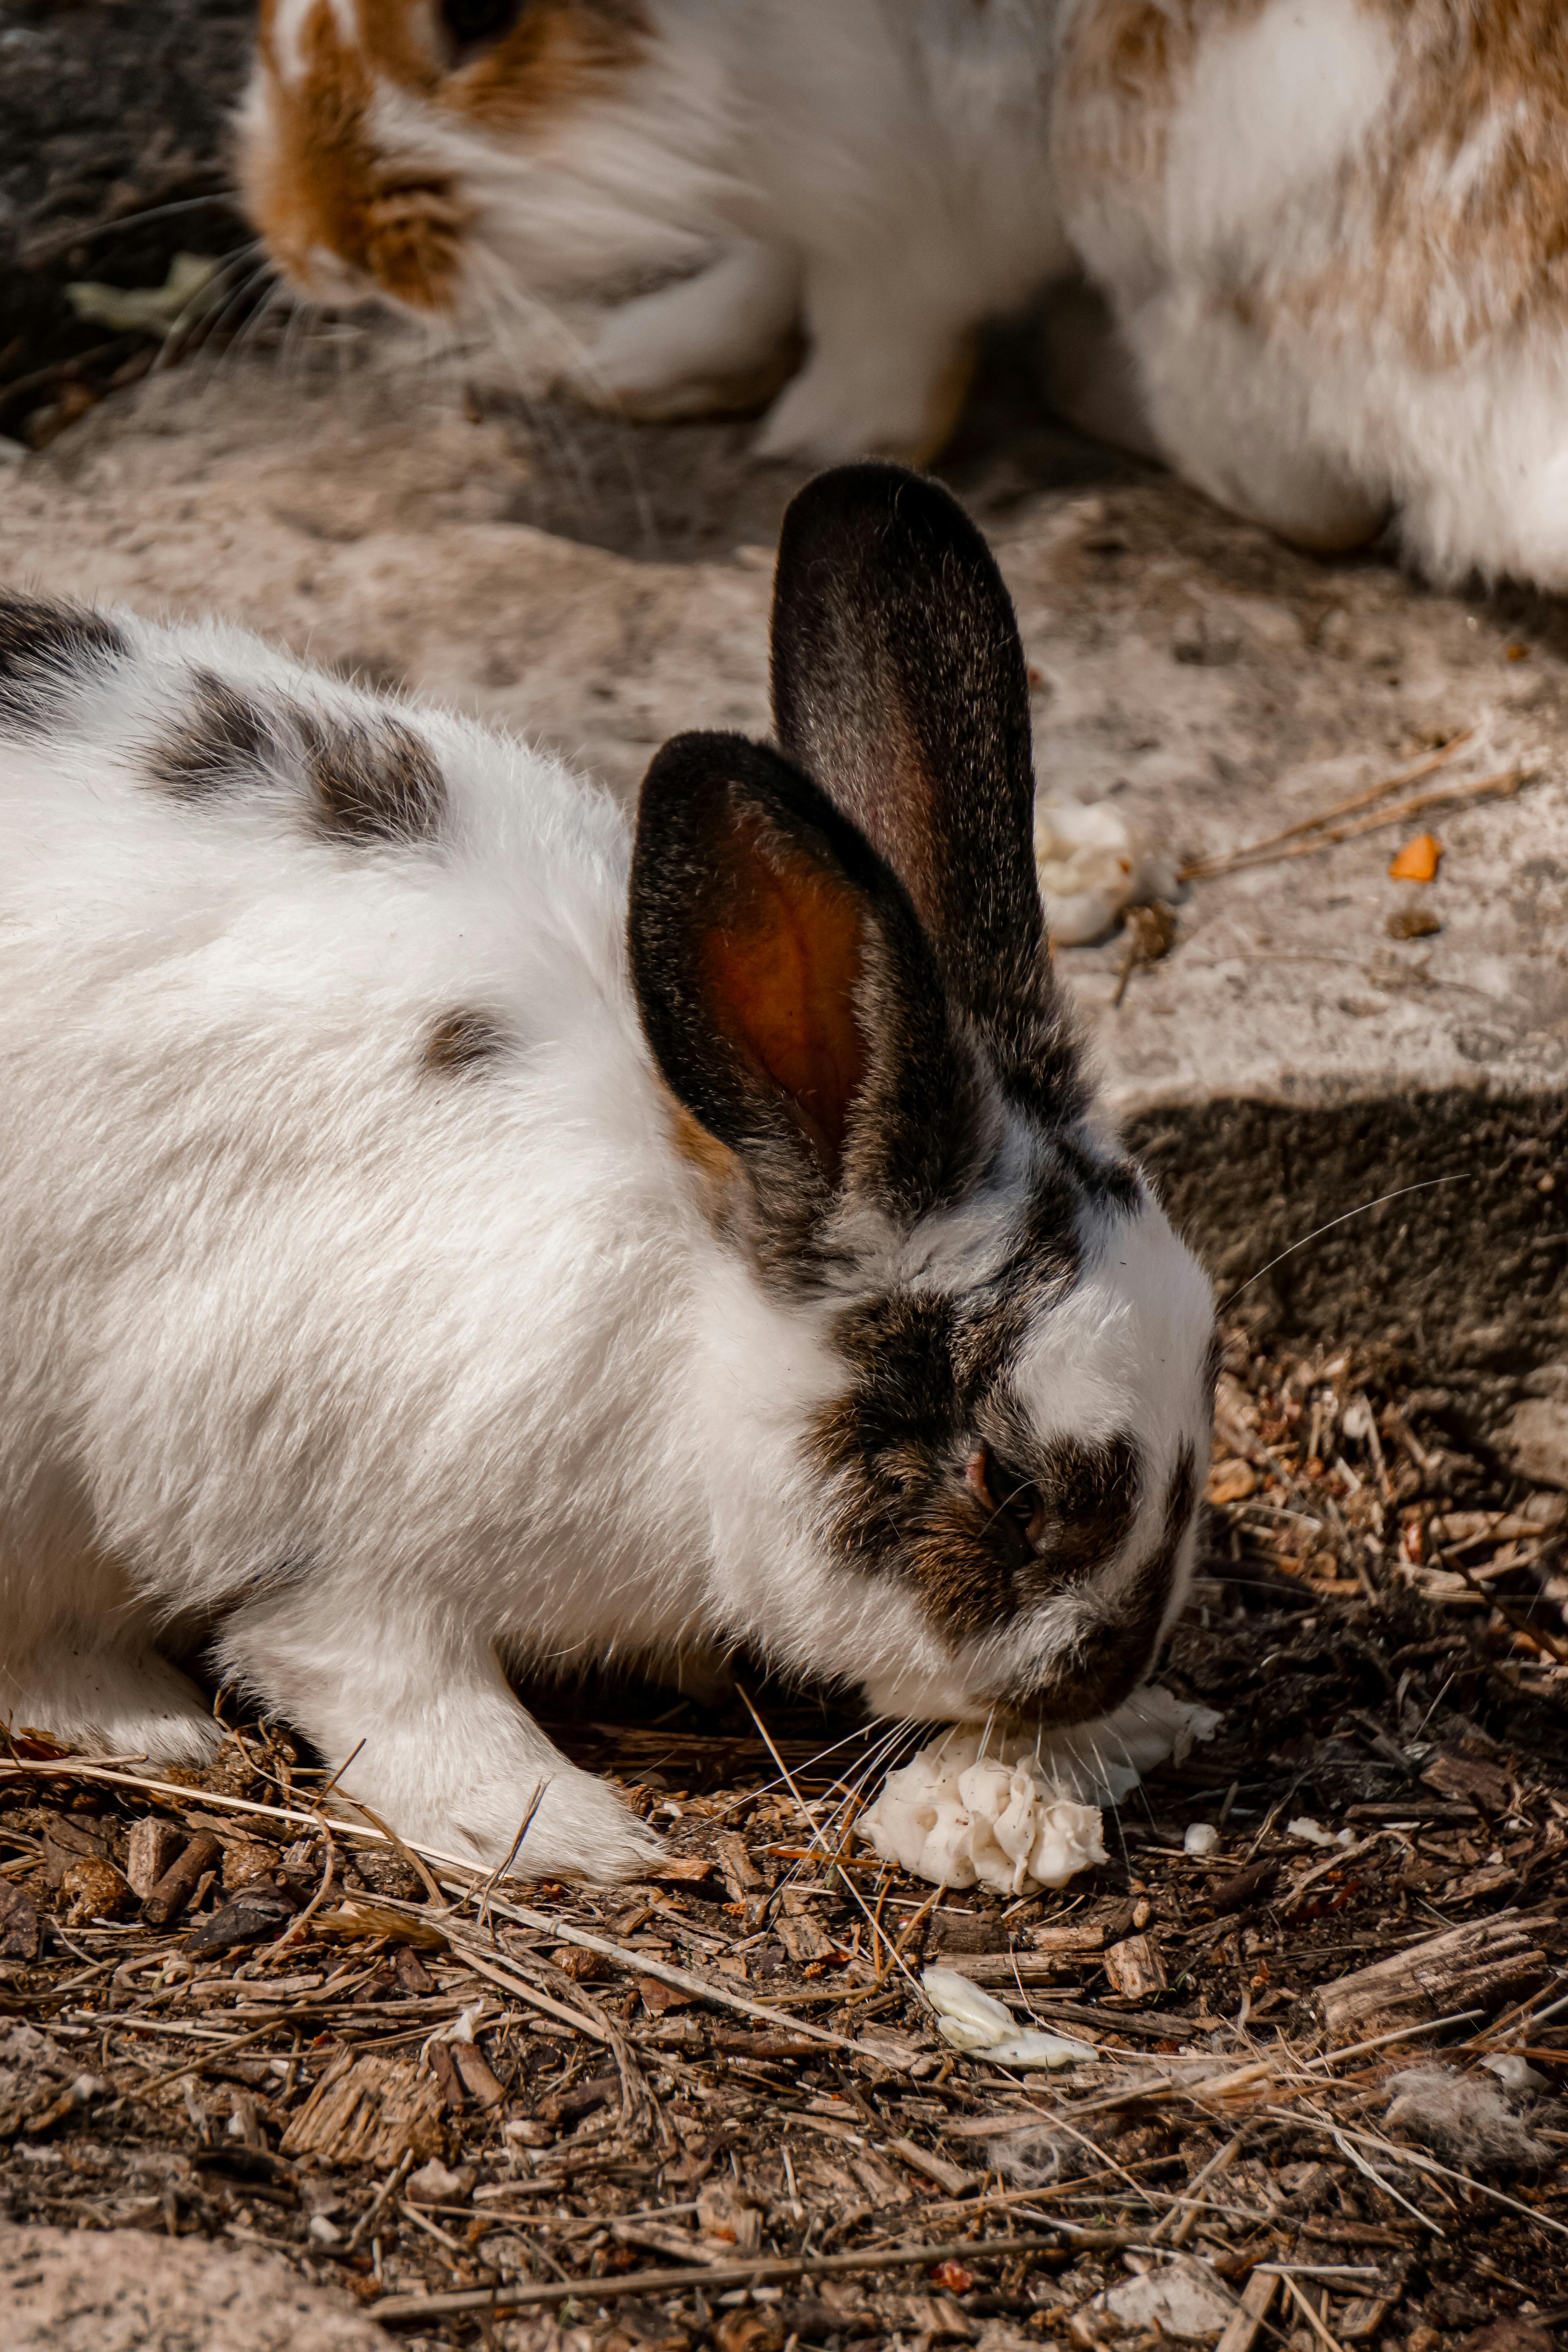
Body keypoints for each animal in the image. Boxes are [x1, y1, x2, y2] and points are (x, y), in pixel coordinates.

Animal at [0, 463, 1217, 1879]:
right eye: (1005, 1484)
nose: (1102, 1674)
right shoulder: (339, 1547)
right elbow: (384, 1682)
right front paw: (559, 1831)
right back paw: (142, 1718)